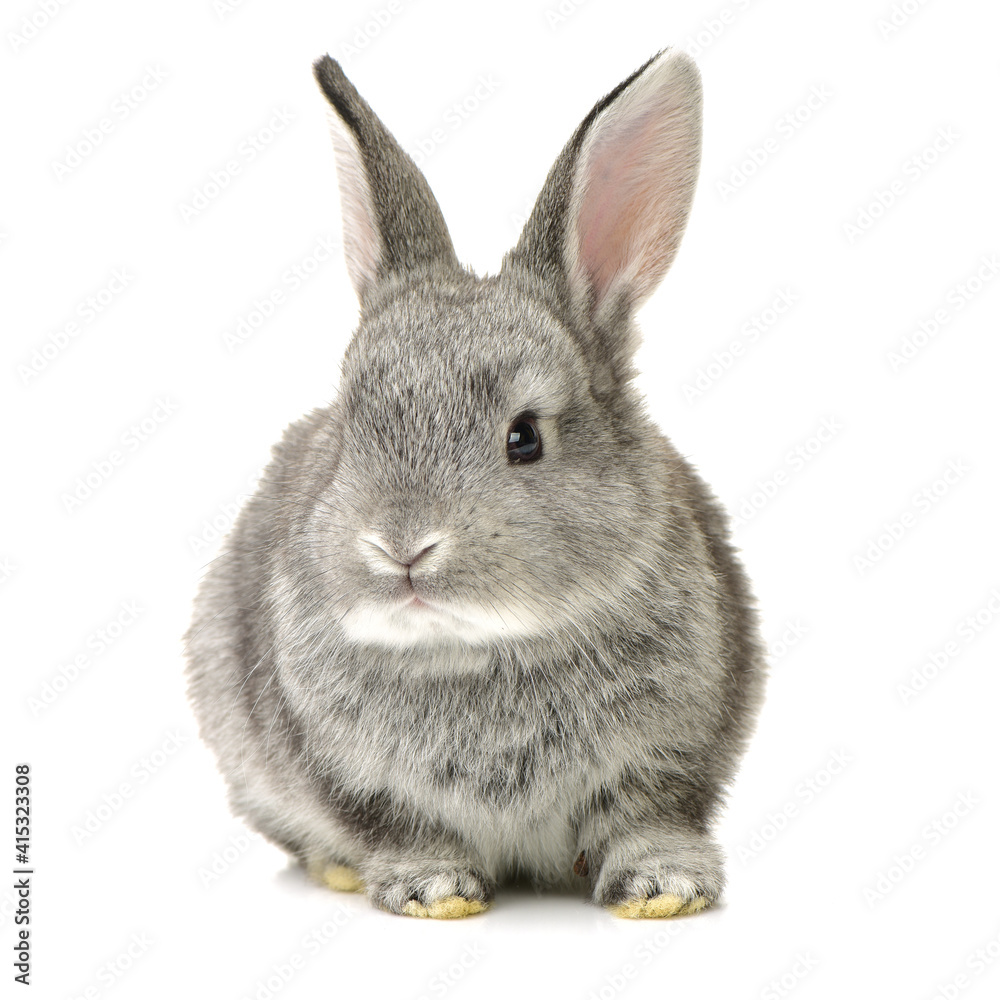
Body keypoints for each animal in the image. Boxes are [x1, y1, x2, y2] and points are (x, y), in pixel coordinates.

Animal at [184, 48, 766, 920]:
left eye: (524, 437)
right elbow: (400, 827)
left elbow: (651, 819)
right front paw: (433, 891)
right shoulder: (355, 779)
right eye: (351, 423)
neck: (480, 644)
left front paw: (664, 889)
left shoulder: (670, 761)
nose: (401, 548)